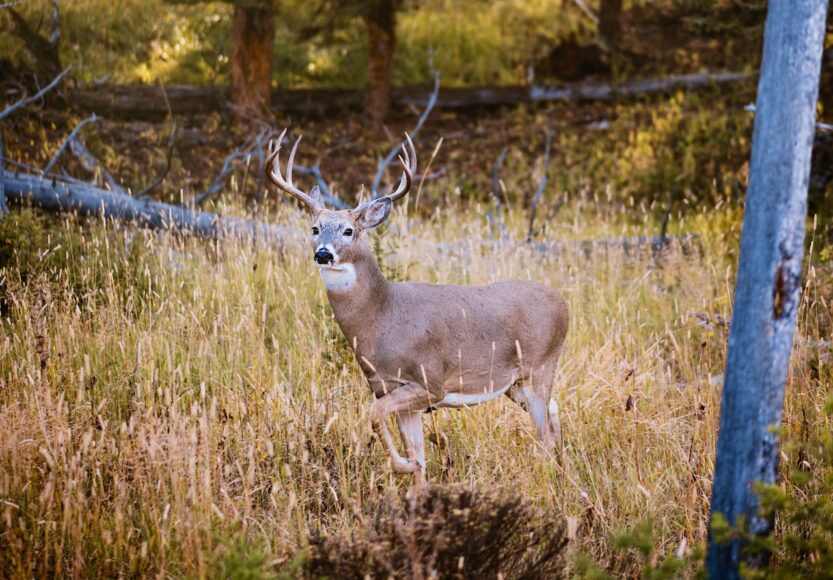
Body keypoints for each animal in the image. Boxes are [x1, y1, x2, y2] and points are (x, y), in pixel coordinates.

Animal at [266, 129, 569, 481]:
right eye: (315, 229)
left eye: (349, 230)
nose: (323, 253)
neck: (381, 317)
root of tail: (564, 304)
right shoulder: (388, 387)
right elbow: (416, 452)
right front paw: (415, 477)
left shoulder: (428, 381)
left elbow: (374, 415)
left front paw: (403, 466)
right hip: (515, 384)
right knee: (554, 414)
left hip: (540, 366)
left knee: (544, 434)